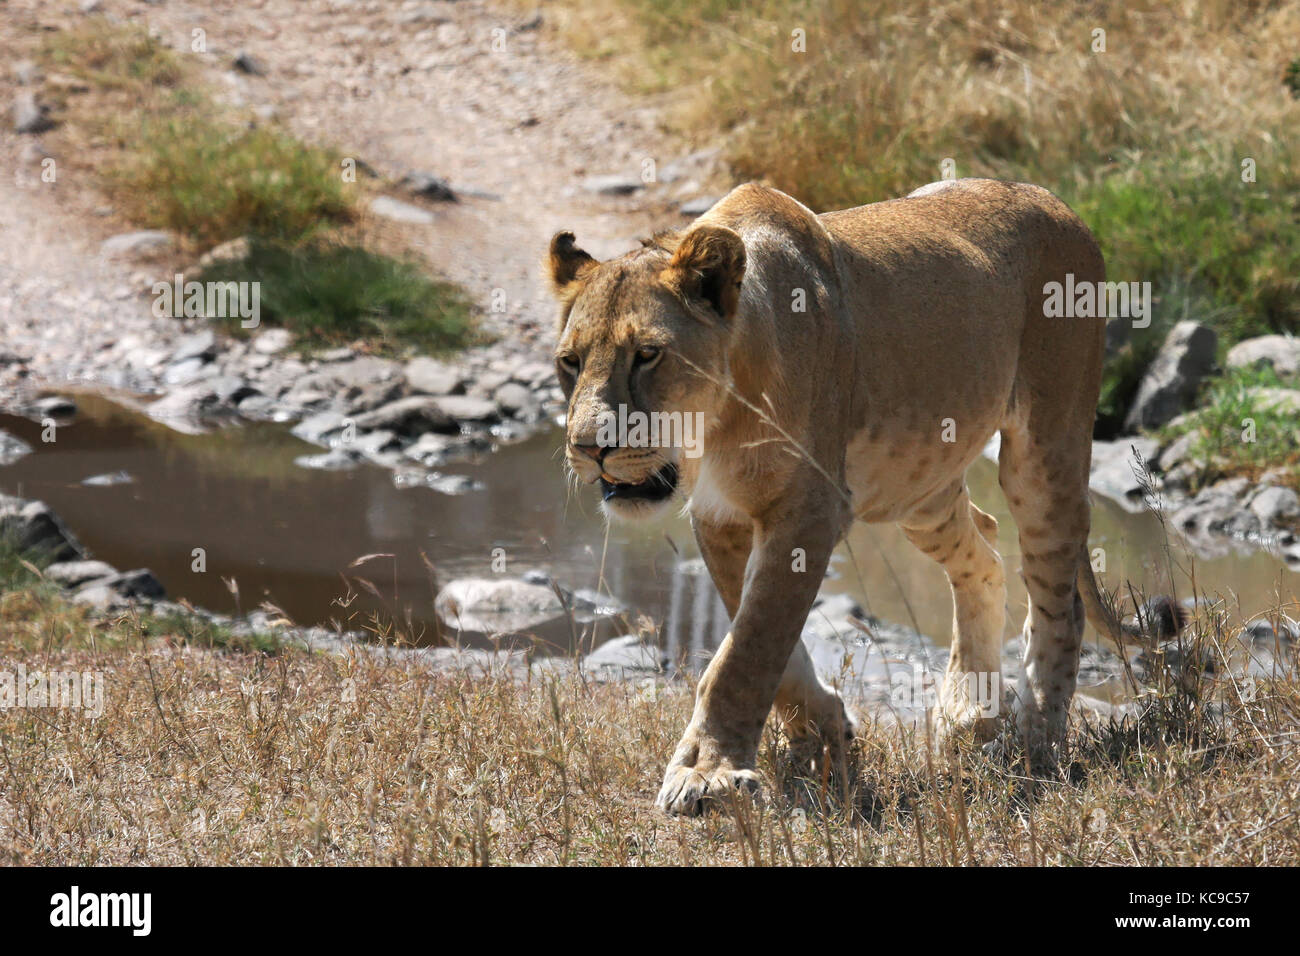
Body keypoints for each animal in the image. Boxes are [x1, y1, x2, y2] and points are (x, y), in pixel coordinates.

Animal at [547, 178, 1143, 816]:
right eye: (570, 362)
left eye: (648, 354)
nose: (588, 448)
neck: (719, 425)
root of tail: (1054, 200)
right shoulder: (721, 516)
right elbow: (762, 639)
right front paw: (823, 733)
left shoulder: (809, 510)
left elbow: (748, 648)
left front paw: (708, 773)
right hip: (917, 486)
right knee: (983, 544)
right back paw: (969, 710)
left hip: (1045, 445)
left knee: (1062, 599)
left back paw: (1035, 743)